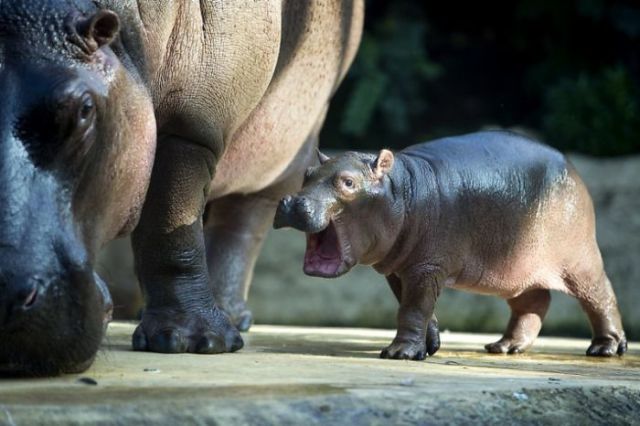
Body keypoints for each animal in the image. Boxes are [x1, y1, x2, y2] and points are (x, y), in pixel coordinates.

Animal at [0, 0, 363, 375]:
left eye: (85, 109)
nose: (3, 295)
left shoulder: (188, 129)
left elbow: (171, 225)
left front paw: (193, 342)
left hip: (292, 138)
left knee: (244, 221)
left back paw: (230, 316)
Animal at [274, 131, 628, 360]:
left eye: (347, 182)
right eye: (307, 174)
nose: (291, 201)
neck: (404, 188)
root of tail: (571, 167)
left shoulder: (426, 266)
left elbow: (414, 308)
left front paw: (398, 353)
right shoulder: (400, 270)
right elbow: (418, 308)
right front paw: (428, 347)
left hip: (579, 259)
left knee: (600, 294)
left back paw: (605, 349)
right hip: (516, 266)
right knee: (533, 303)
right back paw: (504, 347)